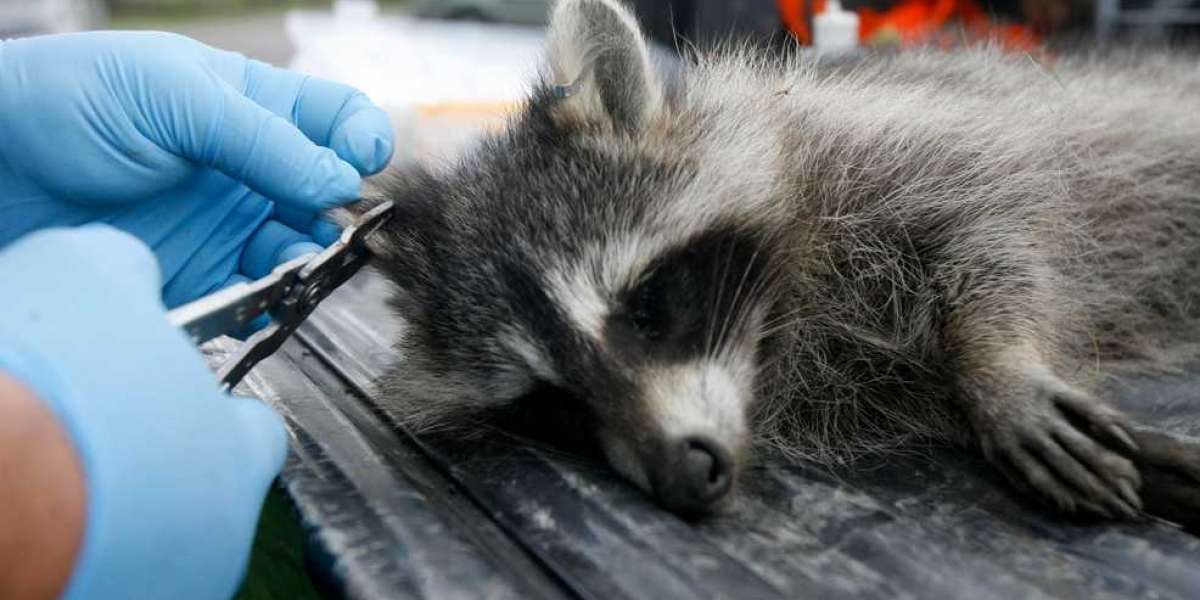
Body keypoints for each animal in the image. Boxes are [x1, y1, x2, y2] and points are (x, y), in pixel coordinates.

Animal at [349, 0, 1200, 519]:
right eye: (550, 404)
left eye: (646, 309)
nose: (682, 476)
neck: (774, 340)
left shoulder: (907, 149)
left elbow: (1000, 229)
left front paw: (998, 366)